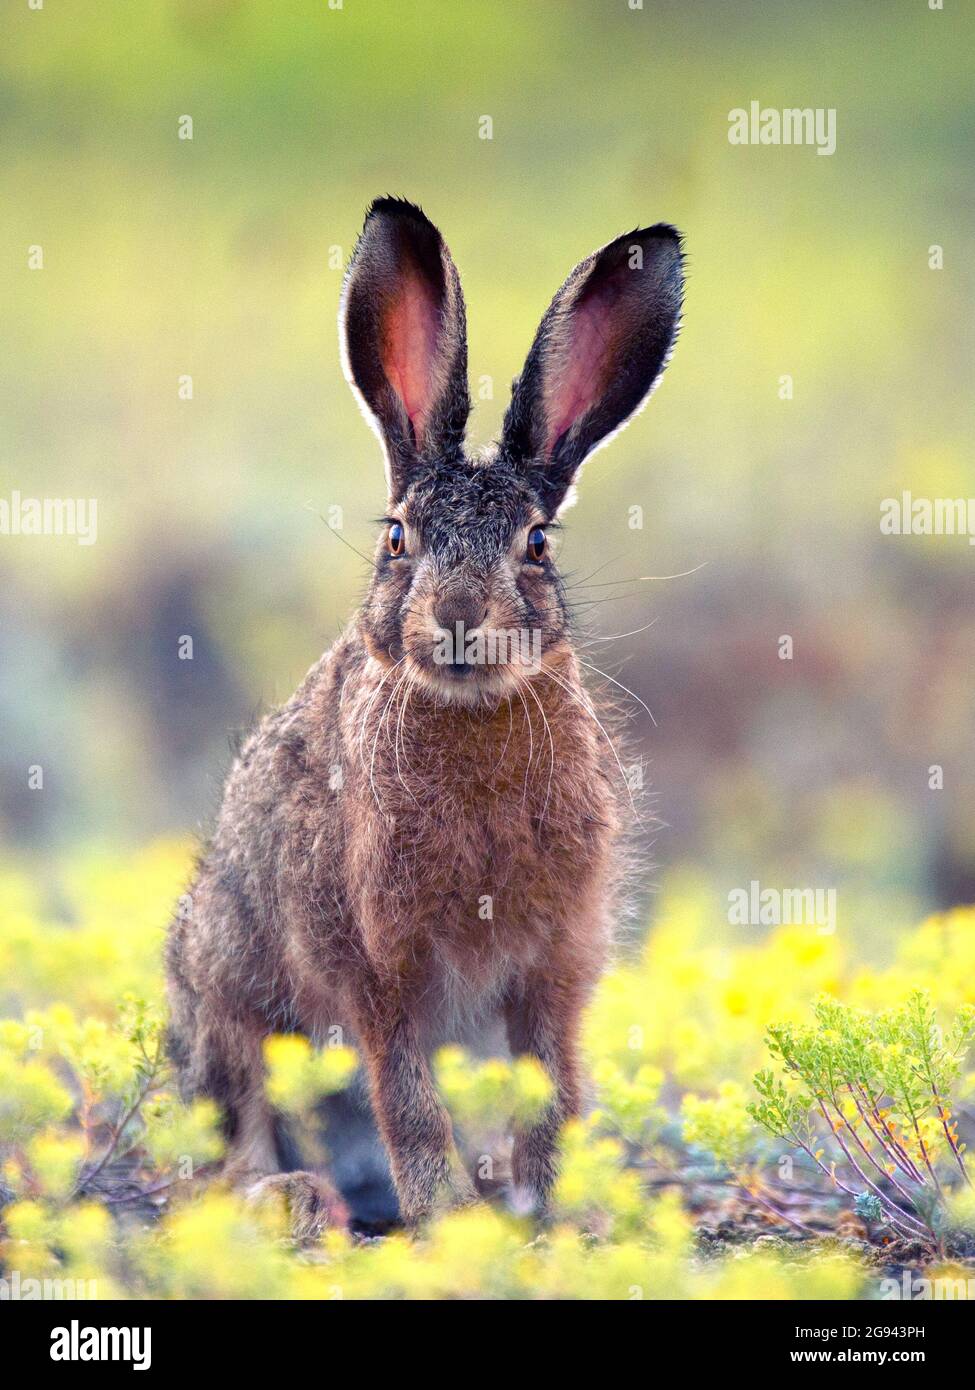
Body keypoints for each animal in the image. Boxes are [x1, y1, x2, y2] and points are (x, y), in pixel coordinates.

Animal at [166, 197, 684, 1229]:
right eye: (398, 539)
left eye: (536, 545)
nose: (457, 617)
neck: (468, 714)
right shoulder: (375, 965)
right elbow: (405, 1093)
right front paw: (443, 1216)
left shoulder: (554, 964)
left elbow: (551, 1085)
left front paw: (554, 1211)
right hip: (228, 987)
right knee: (235, 1127)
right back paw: (293, 1197)